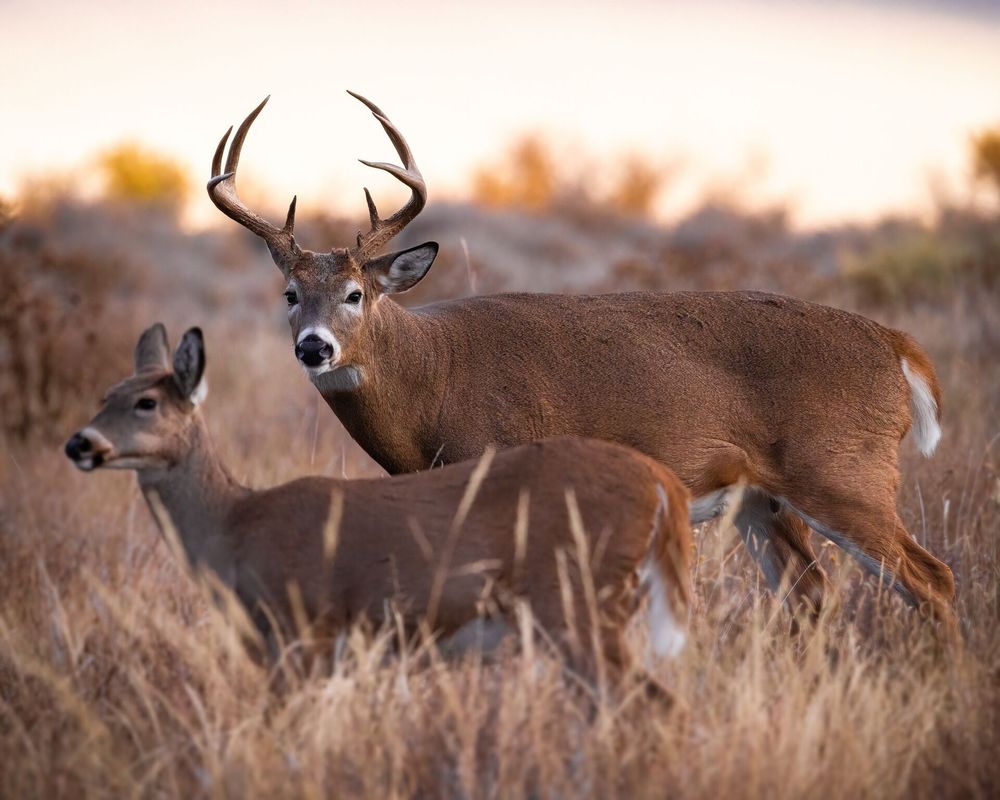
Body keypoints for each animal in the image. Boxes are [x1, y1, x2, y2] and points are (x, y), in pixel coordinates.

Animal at [64, 323, 694, 691]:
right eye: (105, 395)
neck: (235, 525)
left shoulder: (303, 629)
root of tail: (661, 485)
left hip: (578, 598)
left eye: (146, 403)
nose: (80, 444)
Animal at [206, 93, 958, 642]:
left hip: (843, 472)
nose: (314, 347)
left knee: (932, 579)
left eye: (356, 294)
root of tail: (899, 347)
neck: (433, 378)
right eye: (290, 294)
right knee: (812, 593)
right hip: (763, 499)